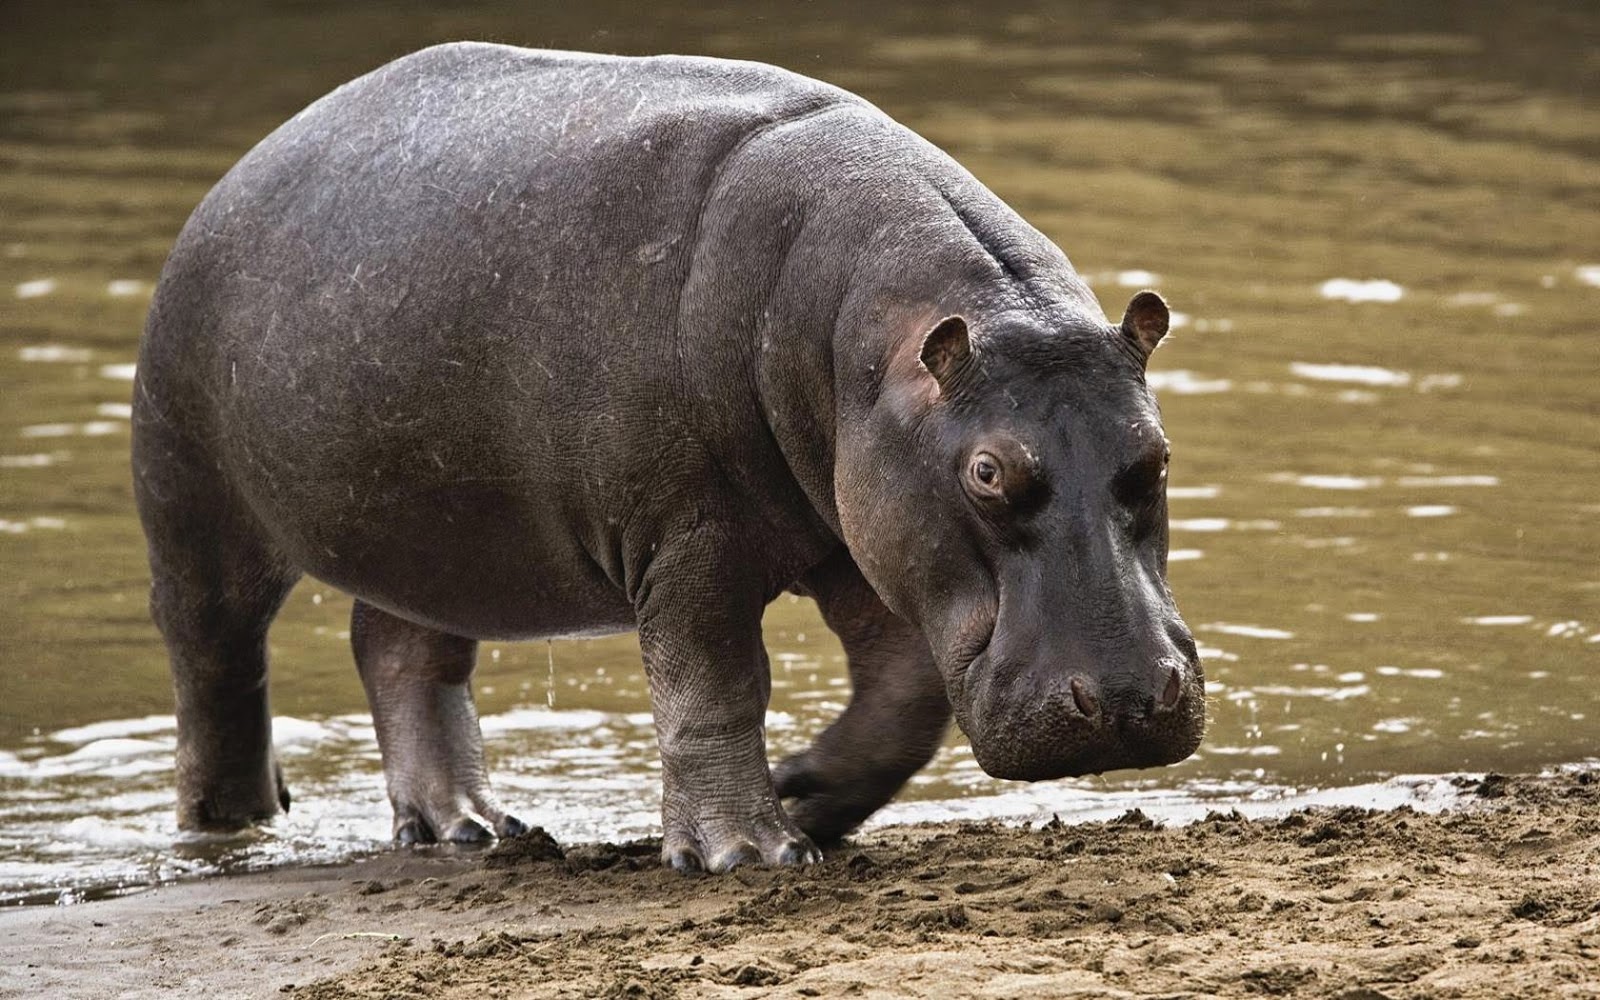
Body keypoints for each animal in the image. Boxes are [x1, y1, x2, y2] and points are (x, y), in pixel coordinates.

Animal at [131, 43, 1204, 873]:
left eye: (1154, 456)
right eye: (988, 472)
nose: (1124, 700)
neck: (868, 342)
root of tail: (240, 171)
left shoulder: (863, 537)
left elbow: (905, 698)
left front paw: (802, 794)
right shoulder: (689, 543)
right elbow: (714, 688)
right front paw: (748, 853)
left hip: (430, 533)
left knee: (400, 652)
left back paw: (468, 828)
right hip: (193, 505)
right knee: (215, 672)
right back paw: (231, 829)